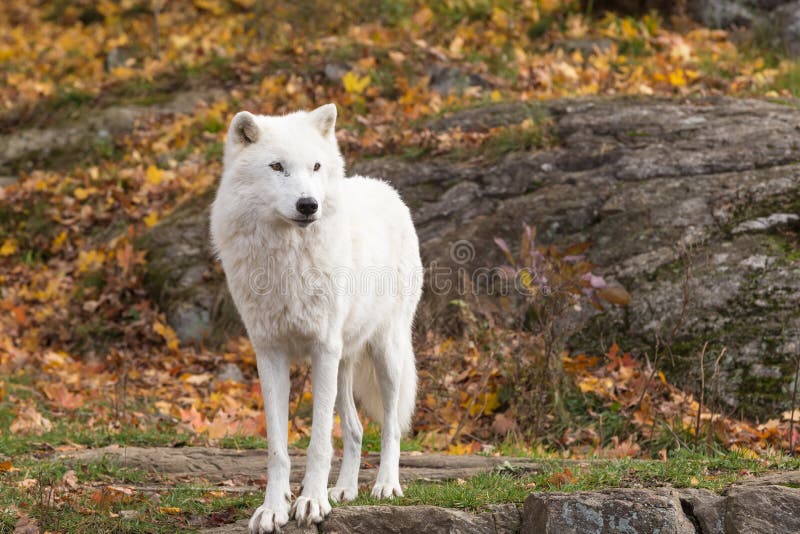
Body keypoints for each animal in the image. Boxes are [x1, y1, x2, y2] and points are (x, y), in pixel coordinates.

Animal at [210, 104, 423, 533]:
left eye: (316, 166)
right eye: (277, 166)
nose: (309, 204)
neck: (288, 260)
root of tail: (385, 188)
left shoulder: (322, 350)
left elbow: (319, 441)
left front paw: (310, 502)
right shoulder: (270, 354)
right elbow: (278, 447)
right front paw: (273, 508)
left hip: (386, 353)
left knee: (391, 426)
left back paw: (385, 486)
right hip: (344, 363)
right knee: (356, 429)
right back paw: (344, 490)